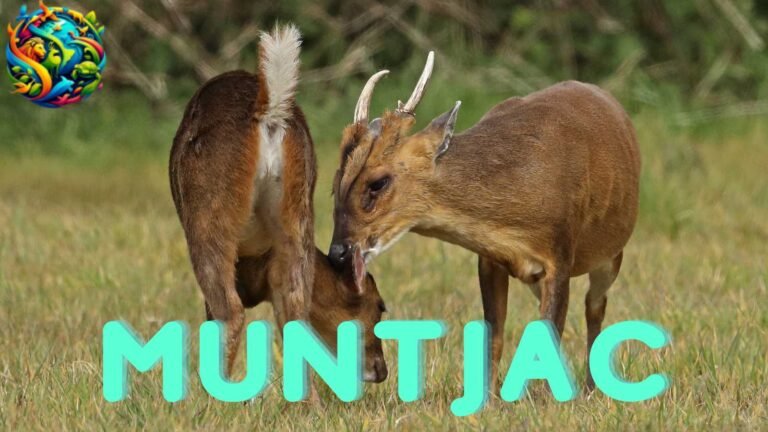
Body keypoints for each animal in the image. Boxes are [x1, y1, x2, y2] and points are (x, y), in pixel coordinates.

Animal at [169, 25, 388, 386]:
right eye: (380, 307)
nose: (381, 370)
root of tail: (269, 112)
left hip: (210, 214)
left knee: (229, 312)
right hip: (297, 212)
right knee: (295, 313)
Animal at [327, 52, 641, 392]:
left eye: (378, 183)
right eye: (335, 185)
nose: (338, 252)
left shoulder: (560, 252)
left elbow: (548, 330)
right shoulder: (490, 259)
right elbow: (494, 336)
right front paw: (488, 397)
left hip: (611, 253)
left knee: (595, 305)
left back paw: (590, 388)